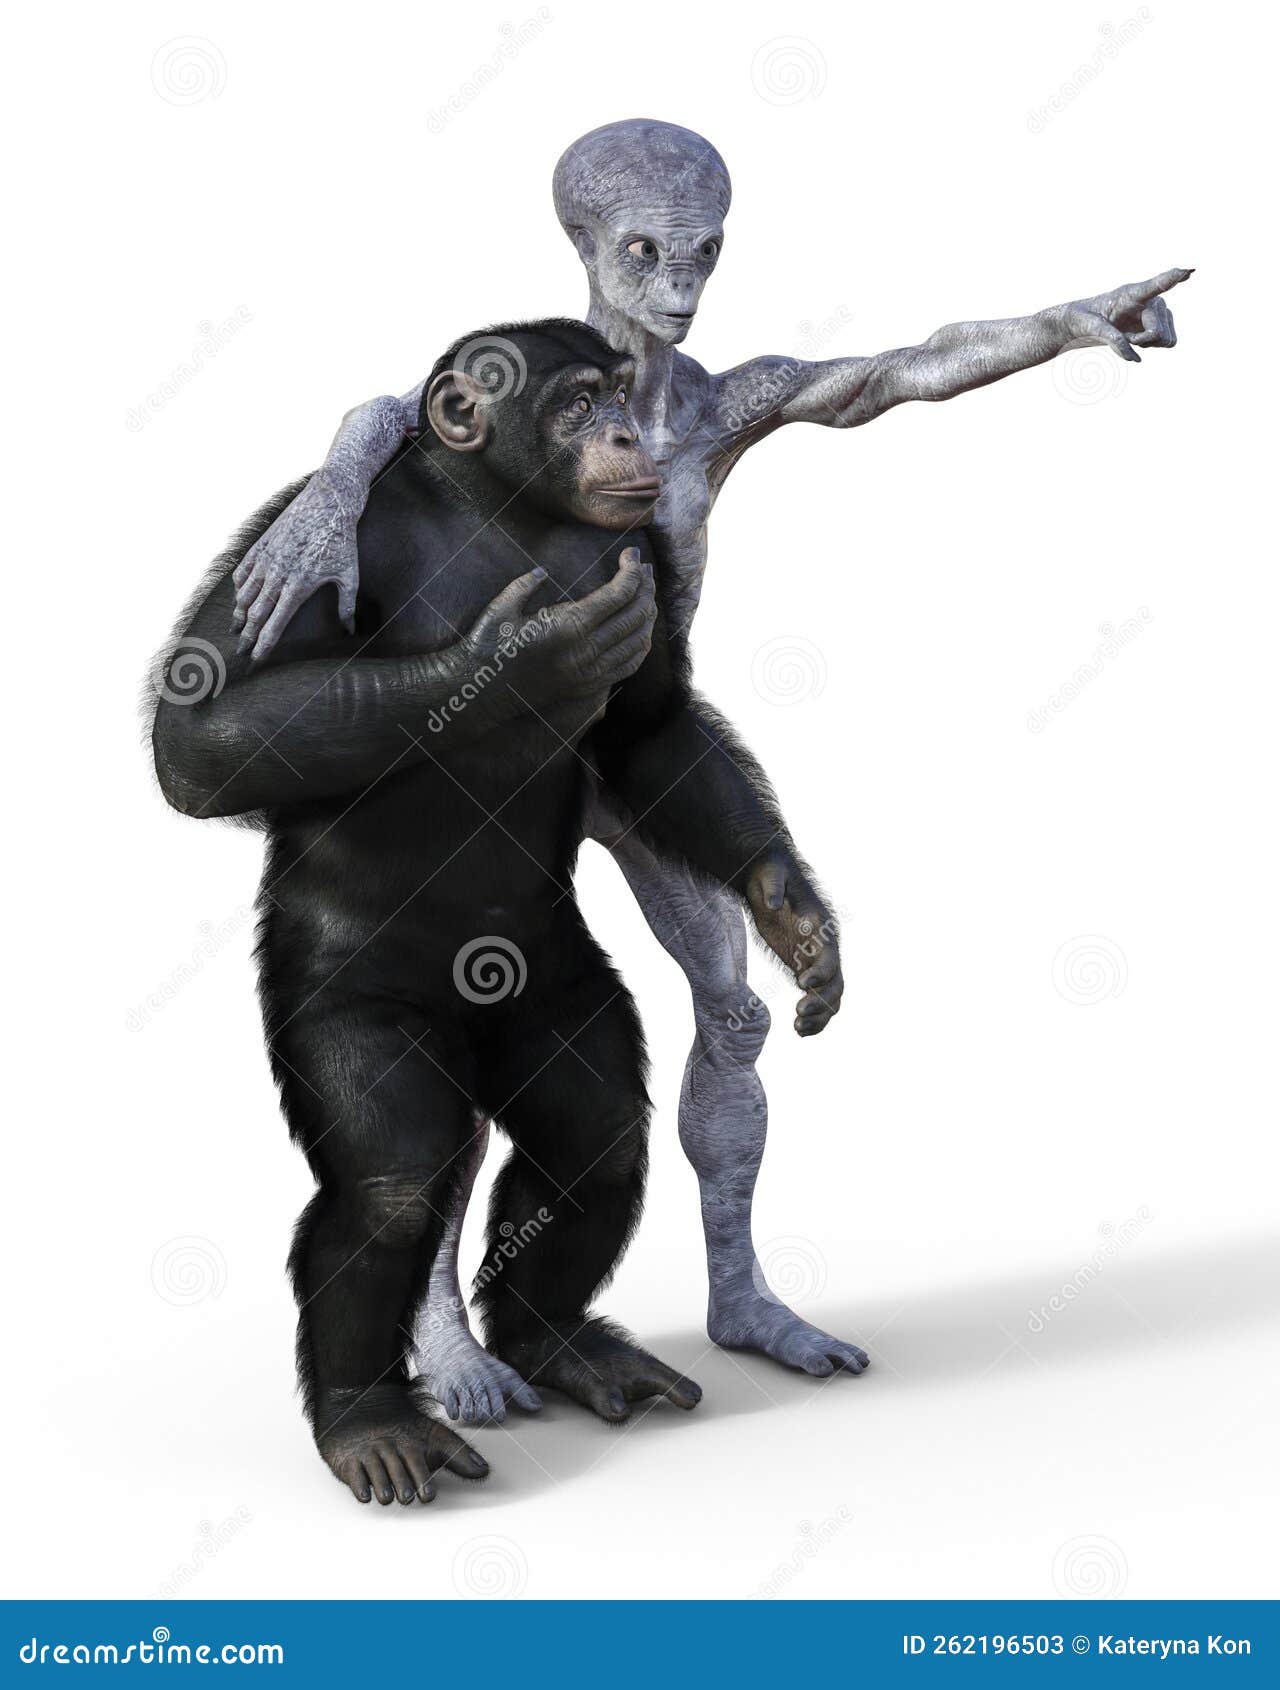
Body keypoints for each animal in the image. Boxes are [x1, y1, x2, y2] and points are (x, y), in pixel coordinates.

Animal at [151, 318, 844, 1504]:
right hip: (343, 998)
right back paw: (369, 1419)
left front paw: (790, 910)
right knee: (393, 1183)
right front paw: (520, 658)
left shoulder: (638, 552)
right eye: (574, 403)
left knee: (593, 1138)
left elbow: (653, 729)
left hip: (551, 980)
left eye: (613, 393)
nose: (624, 431)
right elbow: (199, 722)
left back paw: (556, 1343)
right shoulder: (300, 536)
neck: (497, 506)